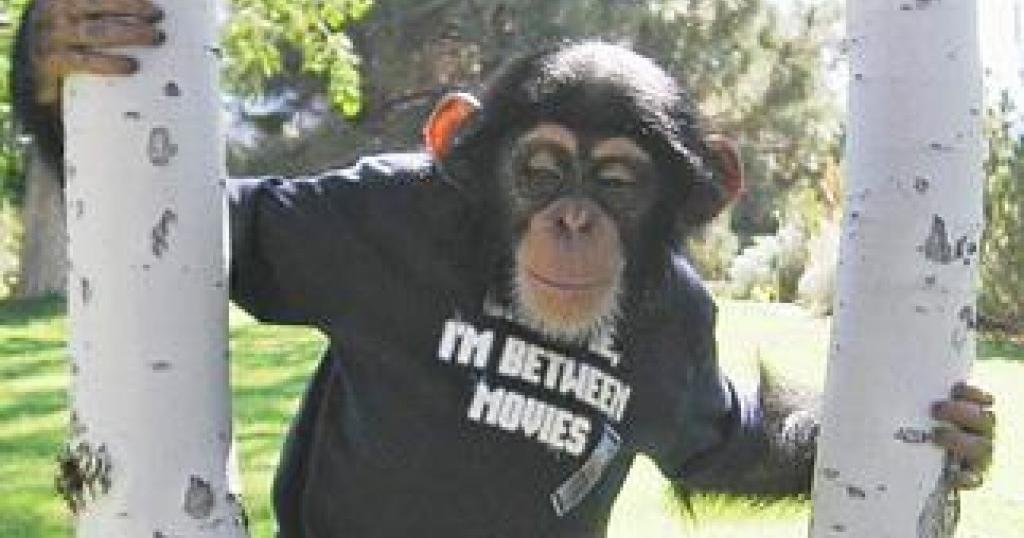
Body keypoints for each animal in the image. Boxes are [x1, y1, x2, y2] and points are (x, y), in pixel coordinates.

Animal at [13, 2, 997, 537]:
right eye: (541, 170)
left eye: (618, 182)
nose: (573, 218)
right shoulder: (350, 217)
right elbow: (232, 220)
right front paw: (51, 54)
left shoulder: (686, 324)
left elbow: (726, 445)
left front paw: (970, 438)